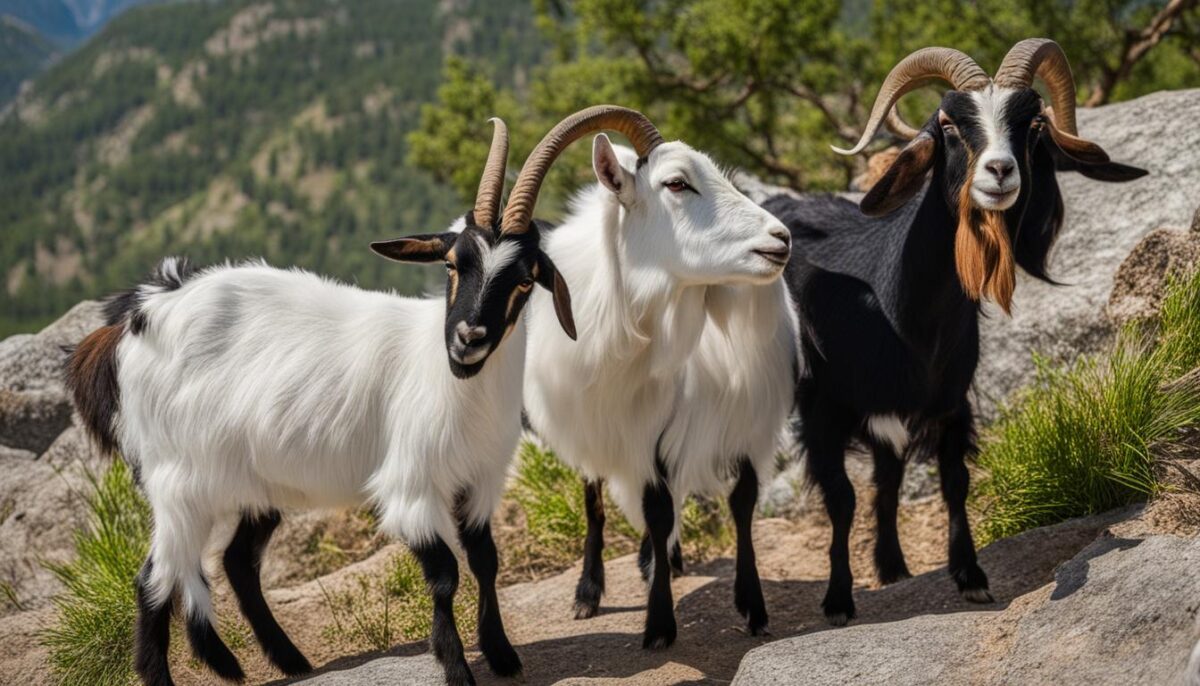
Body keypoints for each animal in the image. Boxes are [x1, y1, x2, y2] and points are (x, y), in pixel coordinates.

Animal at [65, 120, 578, 686]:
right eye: (452, 264)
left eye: (525, 279)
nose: (467, 339)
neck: (454, 383)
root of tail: (140, 314)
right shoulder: (410, 487)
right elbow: (446, 574)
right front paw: (456, 666)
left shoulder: (481, 481)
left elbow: (486, 561)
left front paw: (503, 654)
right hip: (177, 482)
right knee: (155, 578)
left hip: (253, 483)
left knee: (235, 562)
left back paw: (285, 659)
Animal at [518, 107, 793, 647]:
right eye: (677, 183)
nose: (780, 239)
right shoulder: (620, 431)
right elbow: (625, 506)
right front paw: (623, 608)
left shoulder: (705, 423)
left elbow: (705, 506)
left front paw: (709, 613)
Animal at [764, 39, 1147, 625]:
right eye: (947, 124)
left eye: (1032, 123)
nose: (1000, 171)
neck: (893, 307)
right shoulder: (822, 409)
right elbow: (841, 499)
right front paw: (837, 599)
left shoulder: (950, 402)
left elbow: (954, 482)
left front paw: (970, 576)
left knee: (888, 479)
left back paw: (893, 567)